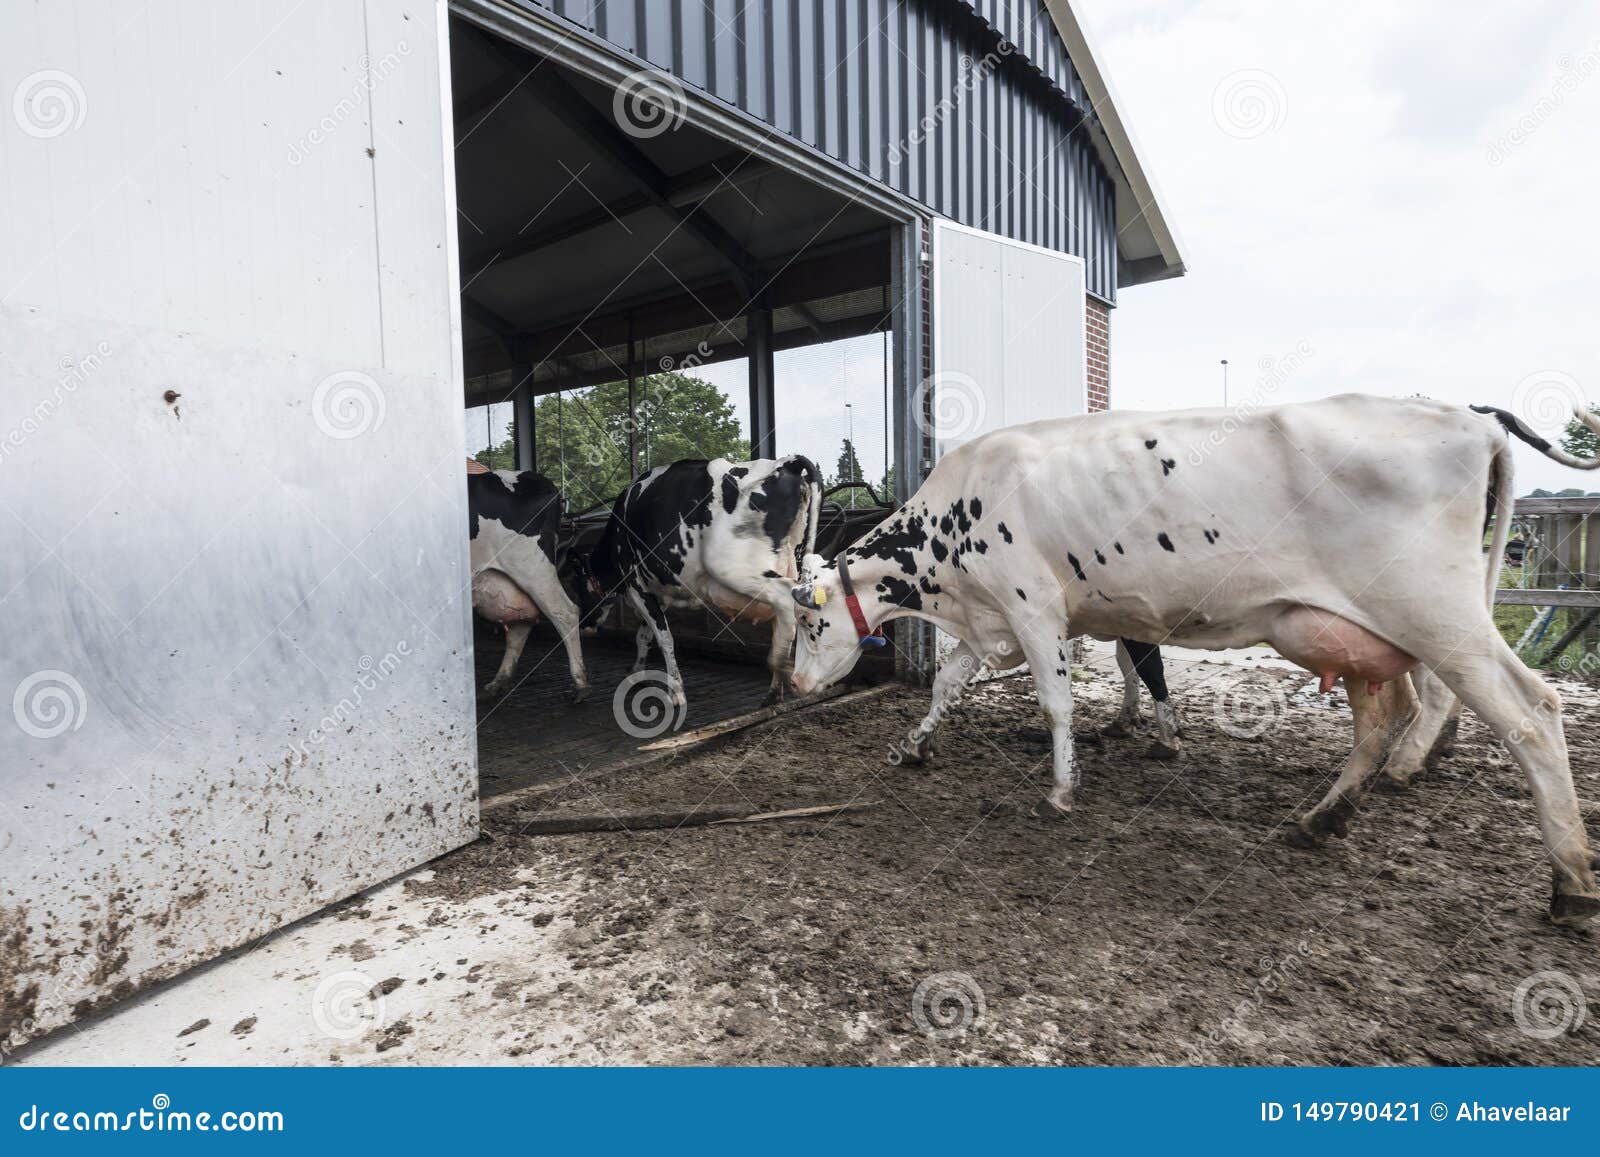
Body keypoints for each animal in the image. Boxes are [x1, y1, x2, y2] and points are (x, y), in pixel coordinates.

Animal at [573, 454, 822, 714]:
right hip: (787, 561)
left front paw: (675, 692)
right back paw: (776, 689)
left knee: (785, 600)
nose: (584, 625)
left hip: (733, 567)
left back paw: (777, 672)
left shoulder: (636, 585)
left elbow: (664, 638)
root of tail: (785, 462)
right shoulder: (657, 593)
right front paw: (637, 672)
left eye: (577, 587)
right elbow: (644, 636)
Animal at [787, 395, 1600, 926]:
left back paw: (1570, 883)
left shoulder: (1032, 605)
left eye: (809, 616)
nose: (792, 682)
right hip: (1356, 632)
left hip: (1437, 612)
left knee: (1527, 711)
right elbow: (950, 681)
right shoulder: (995, 621)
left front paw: (1061, 790)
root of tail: (1470, 417)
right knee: (1385, 715)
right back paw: (1323, 818)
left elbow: (1056, 703)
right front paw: (913, 745)